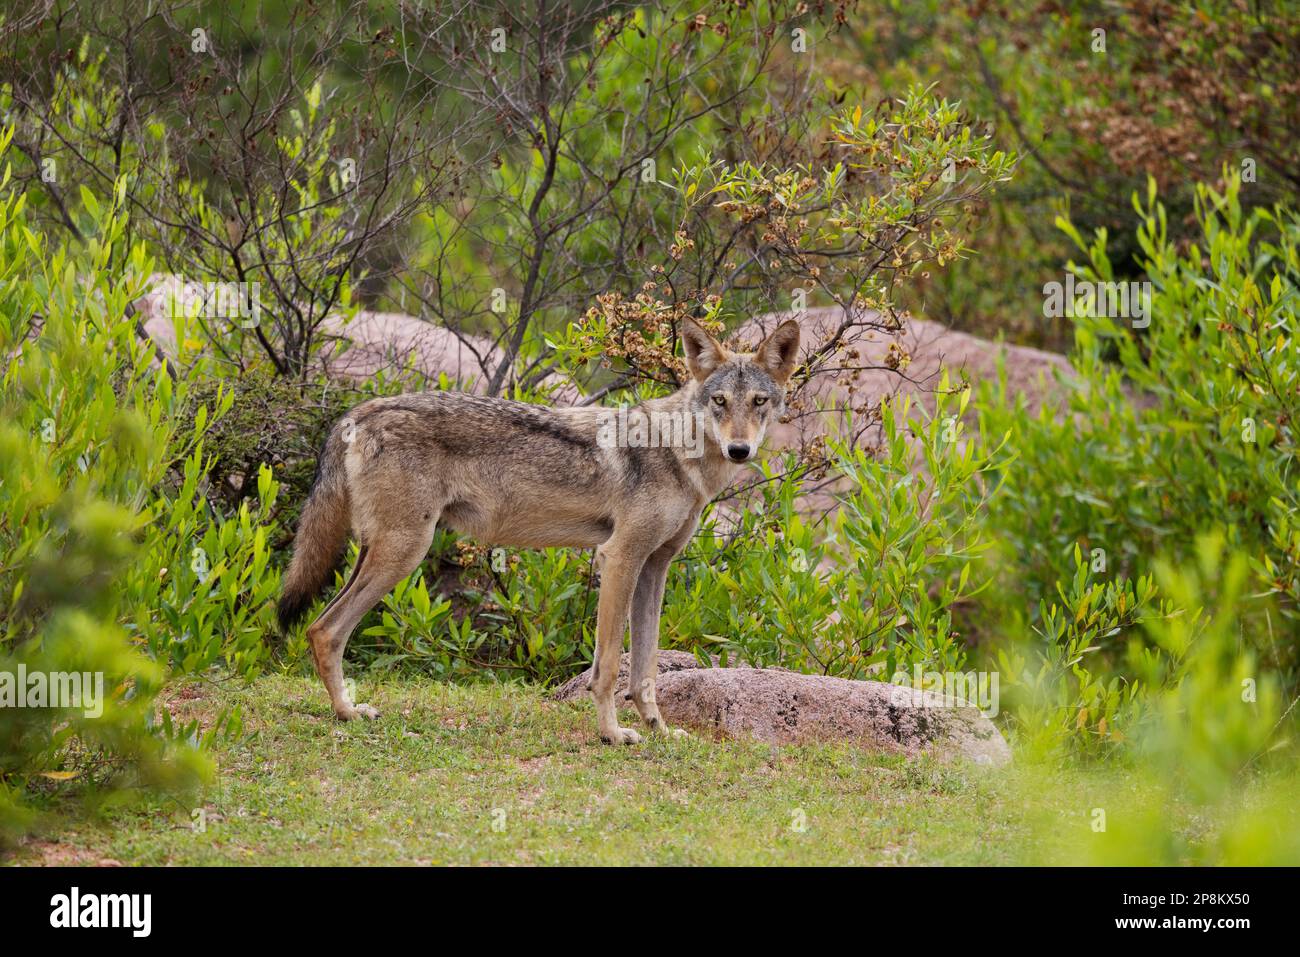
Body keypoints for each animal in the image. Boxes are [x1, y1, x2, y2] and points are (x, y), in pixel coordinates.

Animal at [276, 317, 800, 743]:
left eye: (758, 402)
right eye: (719, 402)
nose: (739, 450)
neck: (678, 452)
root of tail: (358, 411)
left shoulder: (654, 567)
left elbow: (645, 668)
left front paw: (659, 729)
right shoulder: (619, 557)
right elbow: (609, 665)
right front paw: (612, 735)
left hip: (382, 552)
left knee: (323, 630)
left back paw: (347, 711)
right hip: (403, 553)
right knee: (324, 630)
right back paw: (346, 713)